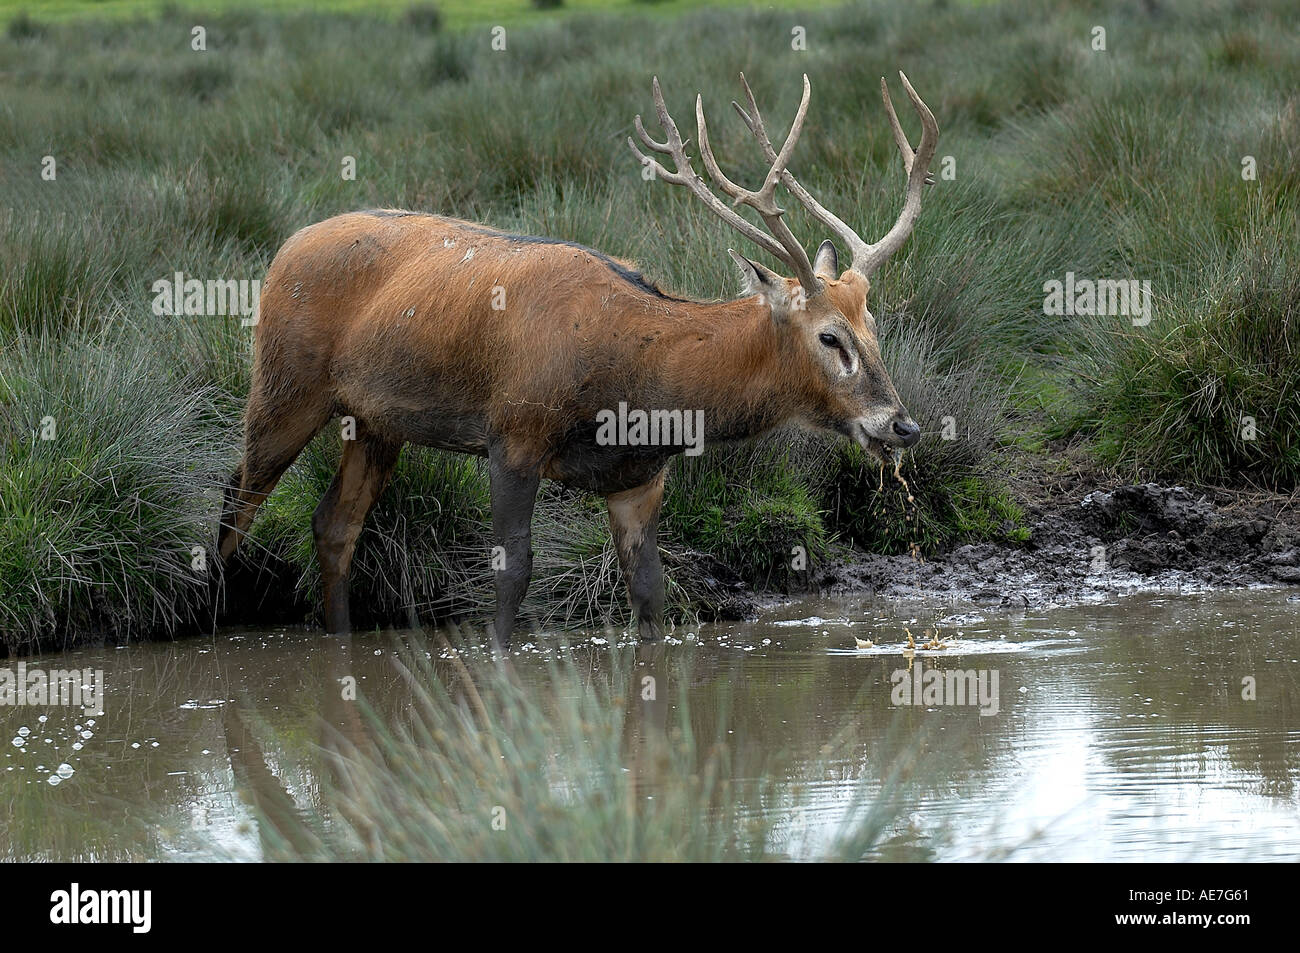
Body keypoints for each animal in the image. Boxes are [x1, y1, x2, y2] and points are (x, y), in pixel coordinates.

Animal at [215, 72, 938, 647]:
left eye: (874, 326)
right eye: (829, 337)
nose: (902, 424)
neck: (640, 390)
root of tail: (283, 249)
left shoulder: (639, 477)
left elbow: (650, 594)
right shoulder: (512, 435)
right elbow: (513, 574)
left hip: (374, 421)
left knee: (333, 525)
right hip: (283, 385)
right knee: (234, 503)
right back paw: (216, 618)